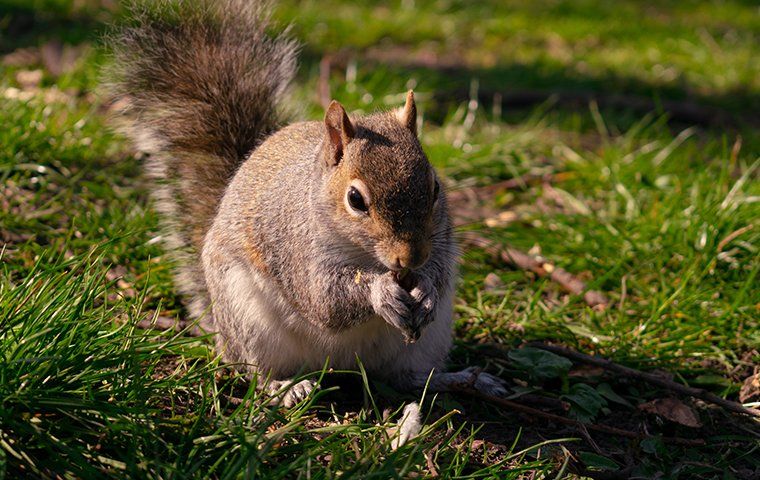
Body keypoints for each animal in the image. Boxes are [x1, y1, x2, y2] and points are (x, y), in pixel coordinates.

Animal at [106, 0, 506, 408]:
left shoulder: (441, 241)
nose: (410, 258)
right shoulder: (296, 249)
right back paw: (285, 387)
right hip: (248, 322)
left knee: (408, 379)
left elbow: (438, 272)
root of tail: (345, 365)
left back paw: (463, 380)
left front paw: (425, 288)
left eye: (436, 188)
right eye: (355, 199)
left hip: (427, 341)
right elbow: (323, 299)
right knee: (255, 371)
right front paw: (379, 292)